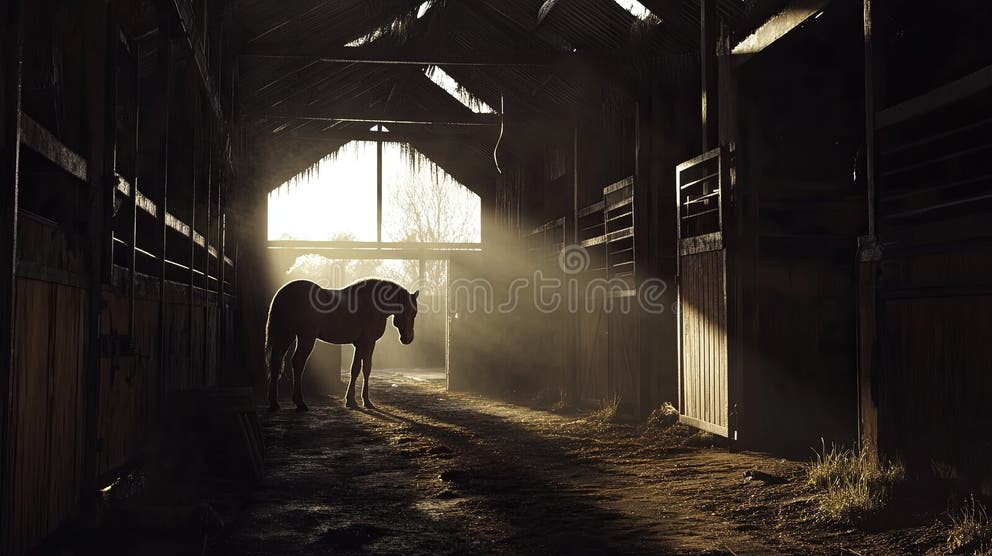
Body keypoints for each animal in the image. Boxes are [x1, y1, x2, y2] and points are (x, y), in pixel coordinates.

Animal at [264, 278, 419, 411]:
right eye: (411, 312)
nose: (408, 338)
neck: (371, 304)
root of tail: (285, 292)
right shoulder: (369, 342)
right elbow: (366, 369)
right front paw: (366, 401)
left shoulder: (359, 344)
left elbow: (355, 369)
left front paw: (351, 400)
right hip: (305, 337)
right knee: (297, 362)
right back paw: (300, 402)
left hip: (287, 335)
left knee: (276, 362)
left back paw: (274, 403)